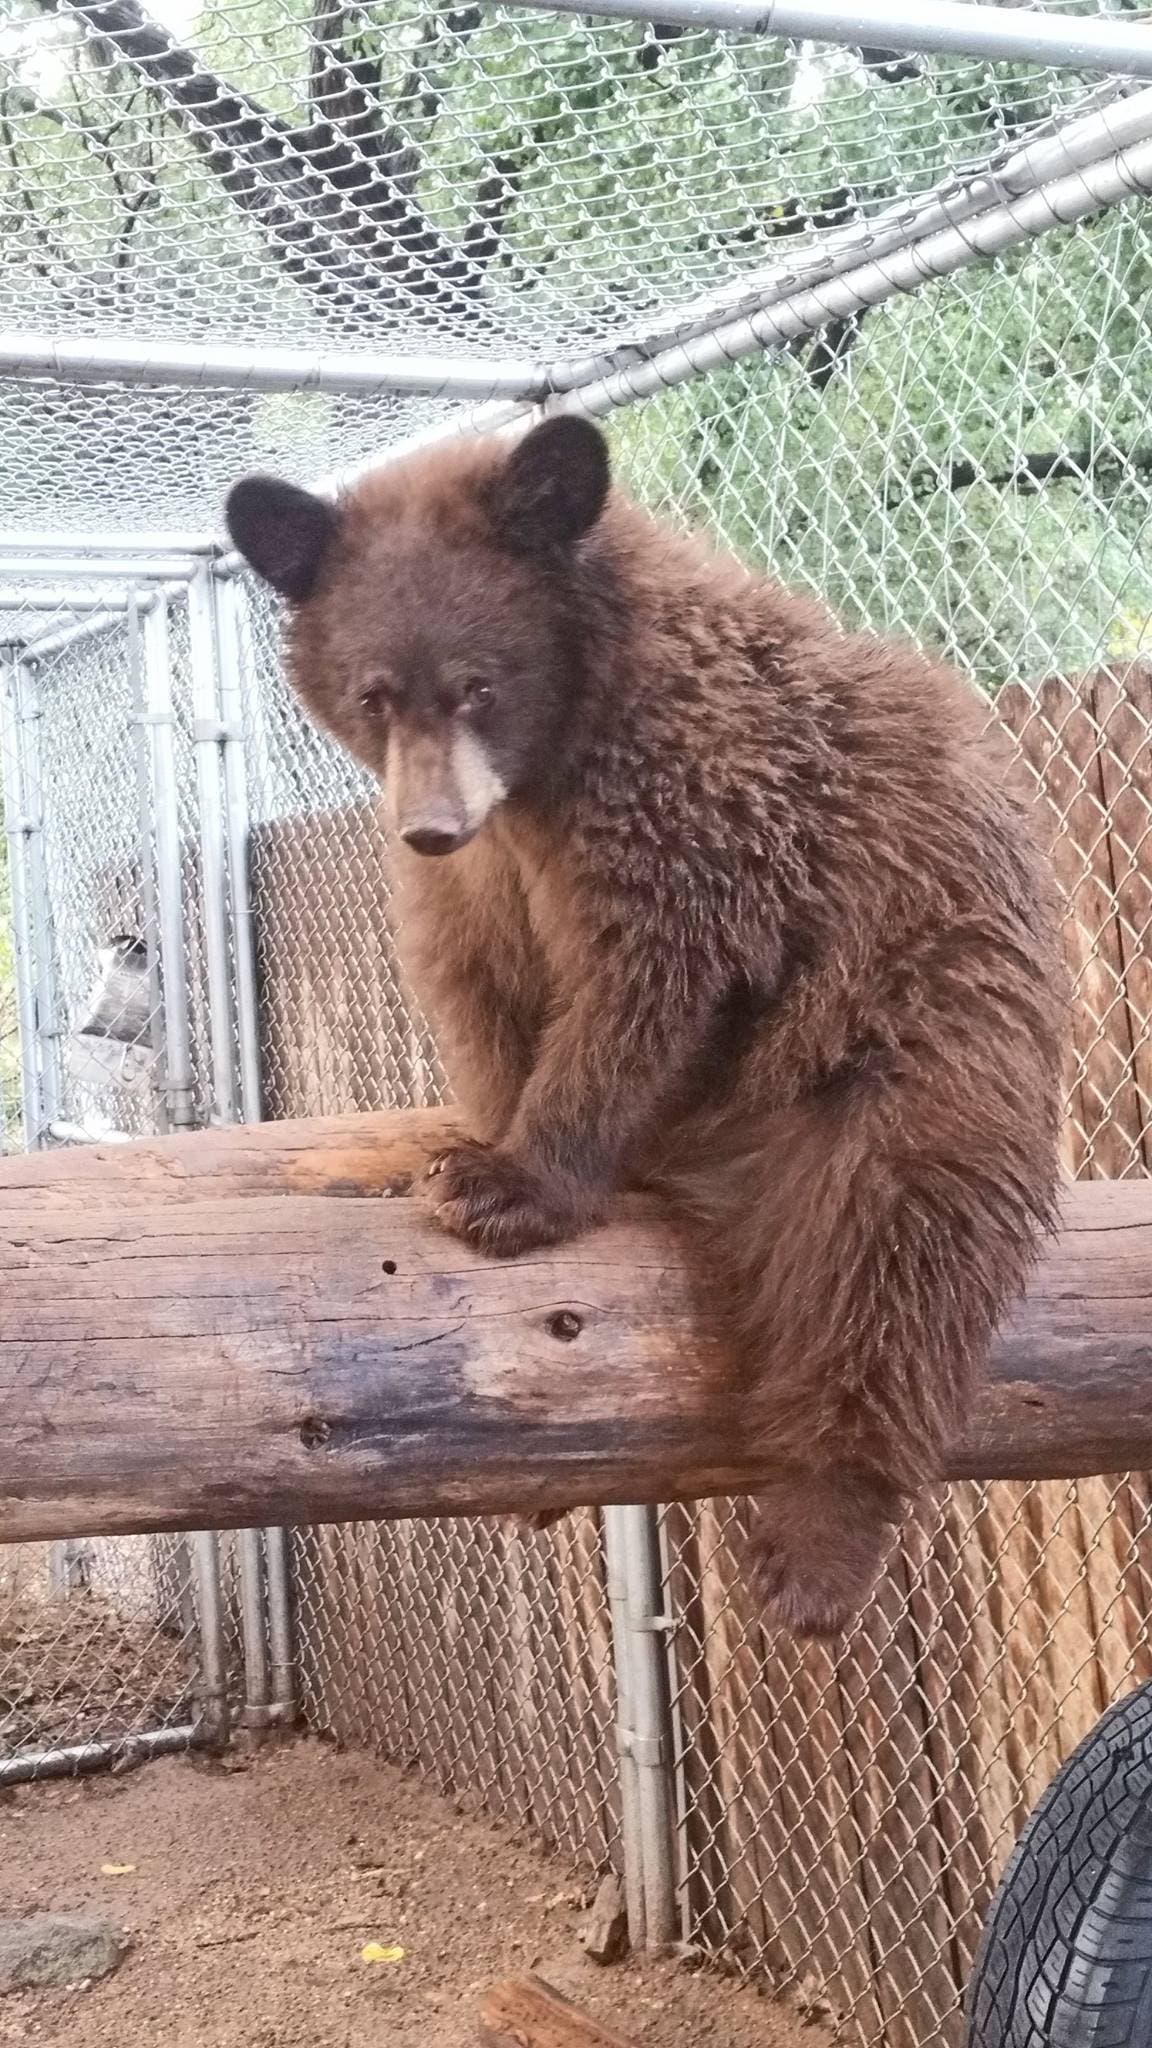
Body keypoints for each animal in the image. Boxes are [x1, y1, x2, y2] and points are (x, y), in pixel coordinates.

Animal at [225, 414, 1067, 1638]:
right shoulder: (482, 886)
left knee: (895, 1243)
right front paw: (477, 1142)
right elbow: (483, 993)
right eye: (374, 692)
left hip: (914, 1025)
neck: (555, 760)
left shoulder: (697, 805)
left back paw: (819, 1542)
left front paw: (509, 1183)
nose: (430, 824)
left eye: (477, 683)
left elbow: (649, 979)